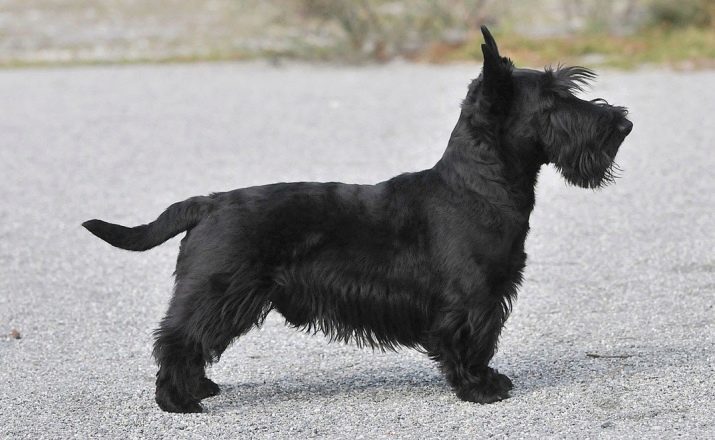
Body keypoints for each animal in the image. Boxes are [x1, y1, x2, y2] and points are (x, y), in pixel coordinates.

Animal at [82, 27, 632, 412]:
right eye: (554, 100)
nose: (623, 123)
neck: (477, 187)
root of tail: (208, 203)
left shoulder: (488, 293)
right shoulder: (473, 297)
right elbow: (471, 340)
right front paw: (480, 387)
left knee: (191, 342)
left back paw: (200, 387)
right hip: (219, 291)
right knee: (177, 339)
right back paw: (178, 401)